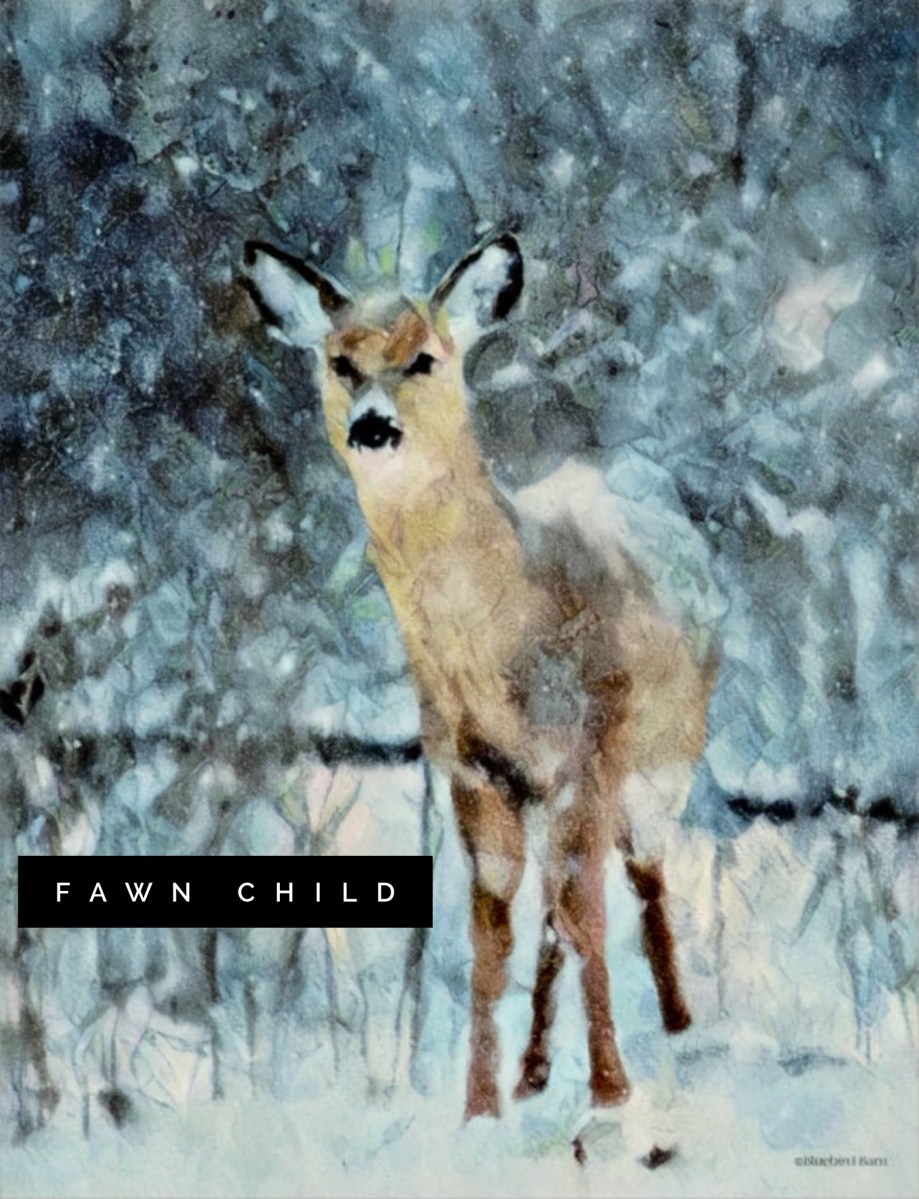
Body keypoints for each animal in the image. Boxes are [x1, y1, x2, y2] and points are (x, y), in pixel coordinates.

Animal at [241, 230, 717, 1120]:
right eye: (339, 362)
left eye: (424, 358)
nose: (372, 427)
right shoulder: (470, 766)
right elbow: (490, 933)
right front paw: (480, 1107)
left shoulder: (589, 747)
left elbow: (585, 912)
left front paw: (610, 1090)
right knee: (555, 906)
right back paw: (535, 1071)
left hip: (664, 756)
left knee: (642, 877)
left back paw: (678, 1027)